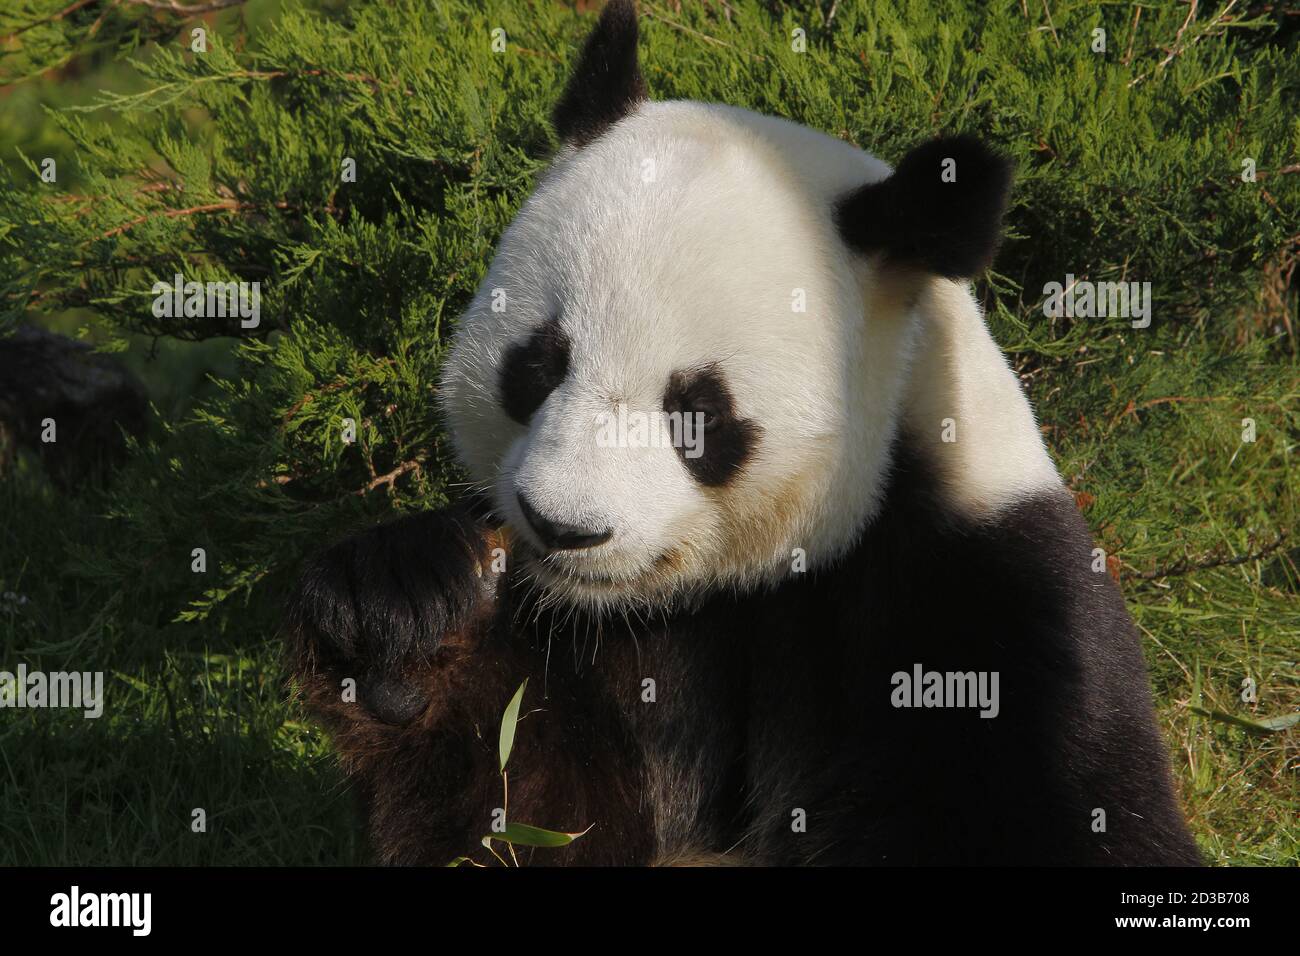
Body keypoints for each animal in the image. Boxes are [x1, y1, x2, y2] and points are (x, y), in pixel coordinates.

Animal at [286, 0, 1200, 866]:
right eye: (537, 365)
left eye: (697, 413)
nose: (563, 527)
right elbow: (528, 814)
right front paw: (401, 622)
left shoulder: (983, 599)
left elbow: (1071, 806)